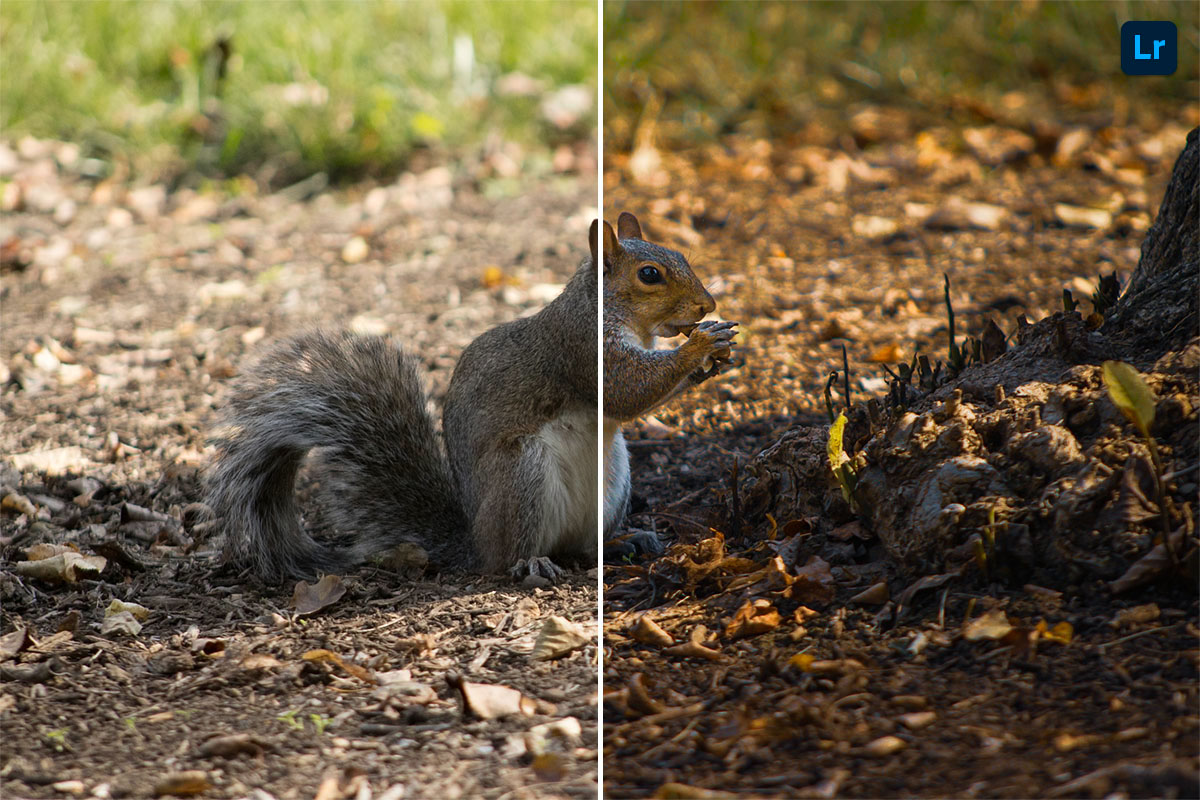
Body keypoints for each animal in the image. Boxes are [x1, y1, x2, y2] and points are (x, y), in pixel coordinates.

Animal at [601, 212, 737, 551]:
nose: (708, 305)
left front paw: (709, 363)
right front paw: (701, 344)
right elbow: (628, 391)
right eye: (649, 274)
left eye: (680, 256)